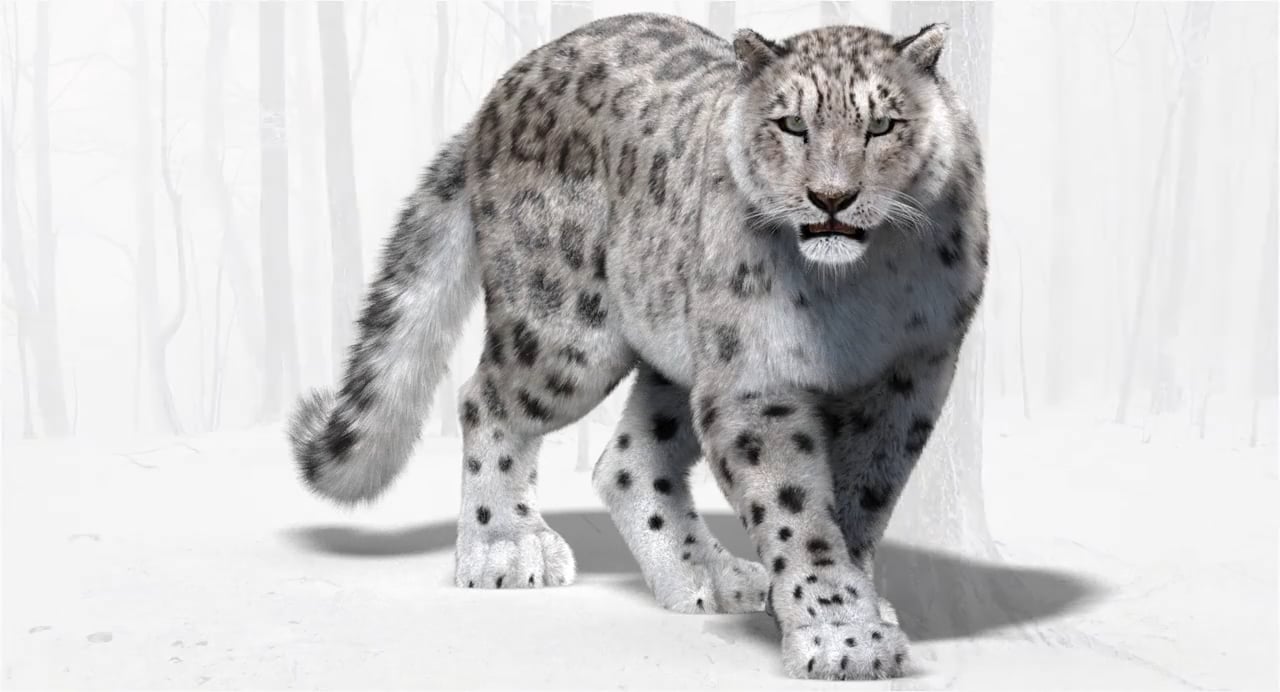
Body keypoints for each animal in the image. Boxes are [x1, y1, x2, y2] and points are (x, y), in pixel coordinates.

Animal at [288, 12, 988, 681]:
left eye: (883, 125)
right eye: (791, 124)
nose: (832, 198)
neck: (856, 290)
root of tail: (500, 92)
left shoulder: (908, 376)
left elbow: (864, 497)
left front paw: (853, 609)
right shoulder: (755, 377)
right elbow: (794, 507)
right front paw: (842, 635)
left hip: (681, 348)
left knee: (627, 460)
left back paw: (710, 577)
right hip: (566, 334)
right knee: (484, 397)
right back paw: (505, 548)